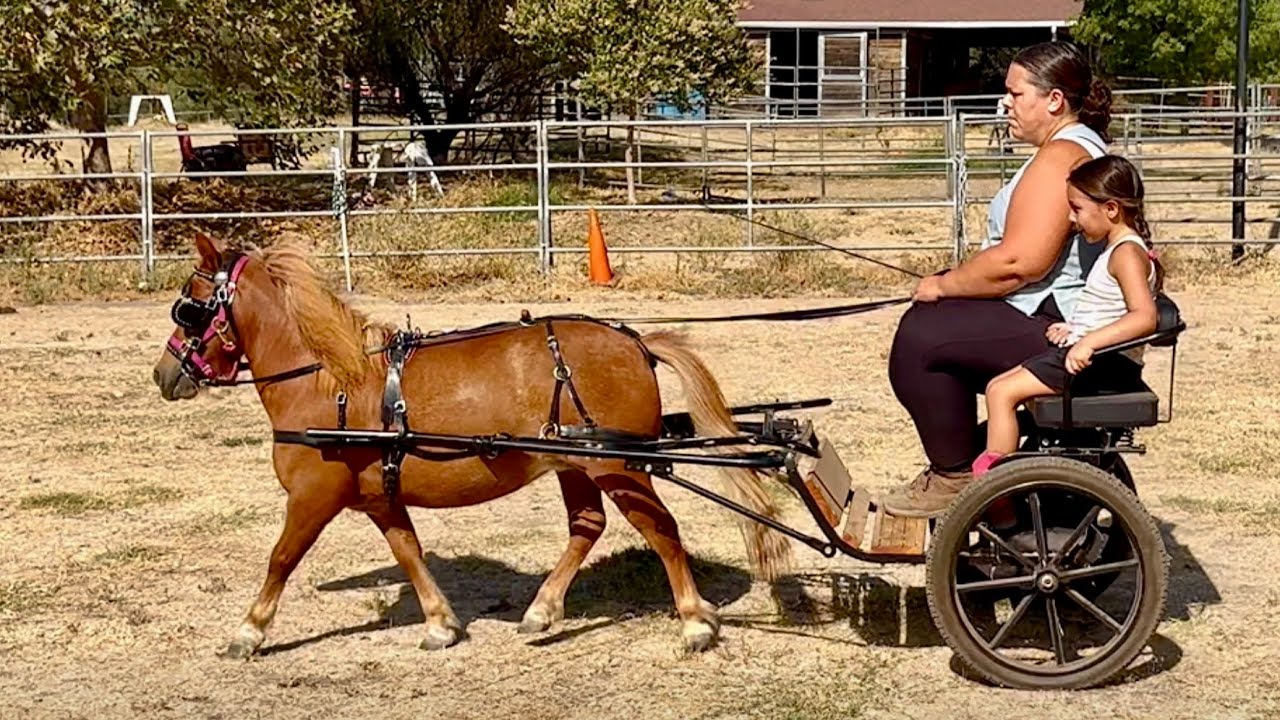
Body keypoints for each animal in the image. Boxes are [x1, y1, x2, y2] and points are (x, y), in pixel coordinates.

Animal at [151, 233, 791, 657]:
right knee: (587, 527)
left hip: (619, 468)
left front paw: (249, 630)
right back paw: (541, 611)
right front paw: (440, 624)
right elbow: (408, 552)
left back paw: (694, 621)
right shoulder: (381, 497)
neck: (329, 382)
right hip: (575, 464)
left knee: (660, 530)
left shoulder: (314, 495)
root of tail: (634, 341)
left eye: (188, 305)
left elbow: (281, 558)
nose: (163, 373)